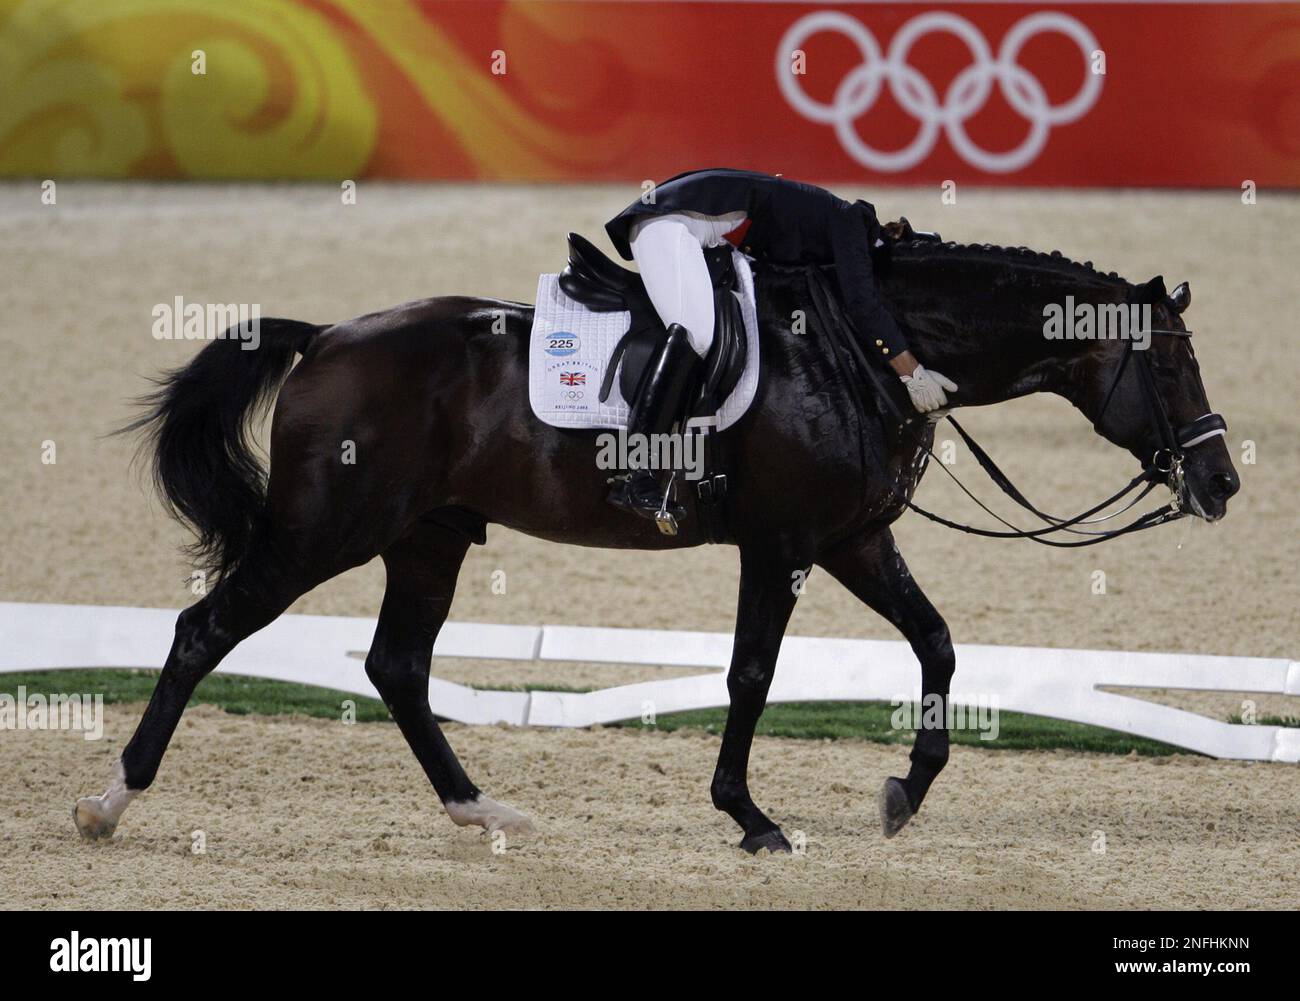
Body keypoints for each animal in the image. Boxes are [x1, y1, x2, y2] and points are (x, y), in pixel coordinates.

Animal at [74, 236, 1239, 854]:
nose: (1223, 481)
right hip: (326, 531)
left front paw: (905, 791)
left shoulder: (855, 539)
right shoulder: (782, 543)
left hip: (428, 538)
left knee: (397, 664)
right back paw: (108, 802)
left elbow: (939, 642)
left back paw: (477, 806)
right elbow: (752, 673)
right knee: (204, 630)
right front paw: (751, 816)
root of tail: (324, 338)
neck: (869, 349)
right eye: (1170, 365)